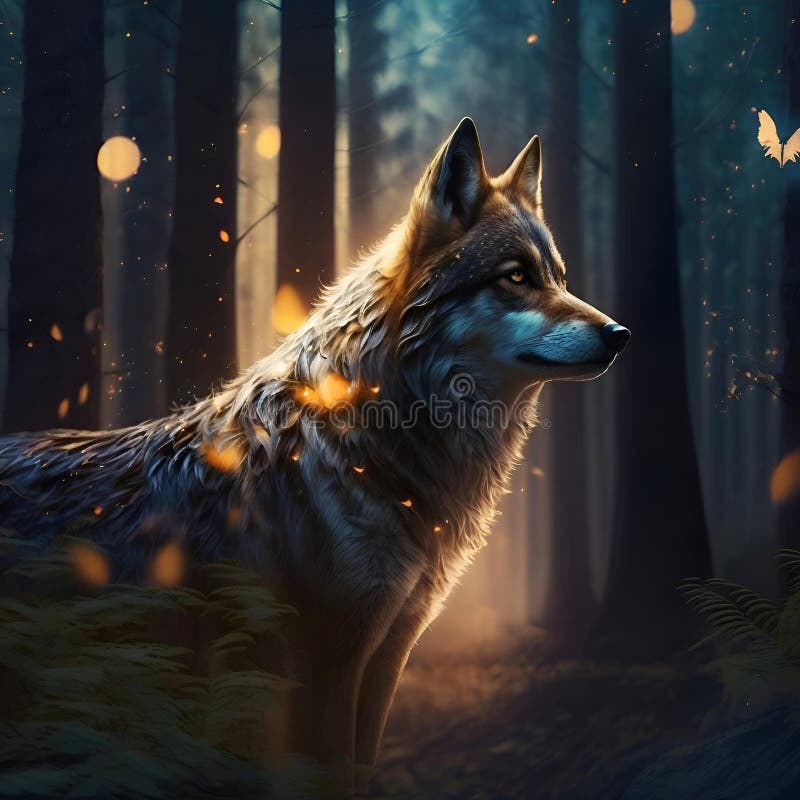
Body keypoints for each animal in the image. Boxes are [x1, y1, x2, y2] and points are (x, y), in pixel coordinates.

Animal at [0, 118, 628, 795]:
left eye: (559, 277)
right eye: (515, 277)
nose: (620, 334)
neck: (371, 444)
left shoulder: (386, 656)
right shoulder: (329, 660)